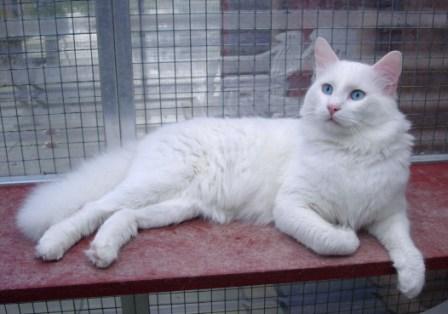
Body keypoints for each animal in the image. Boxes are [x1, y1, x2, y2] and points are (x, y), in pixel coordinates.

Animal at [16, 38, 424, 298]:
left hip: (176, 204)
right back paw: (52, 244)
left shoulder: (390, 214)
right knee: (94, 208)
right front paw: (346, 233)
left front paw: (411, 283)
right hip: (154, 184)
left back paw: (103, 251)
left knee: (122, 217)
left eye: (357, 96)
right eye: (326, 88)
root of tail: (151, 135)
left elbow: (407, 248)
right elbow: (339, 242)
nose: (333, 108)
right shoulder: (292, 206)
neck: (349, 151)